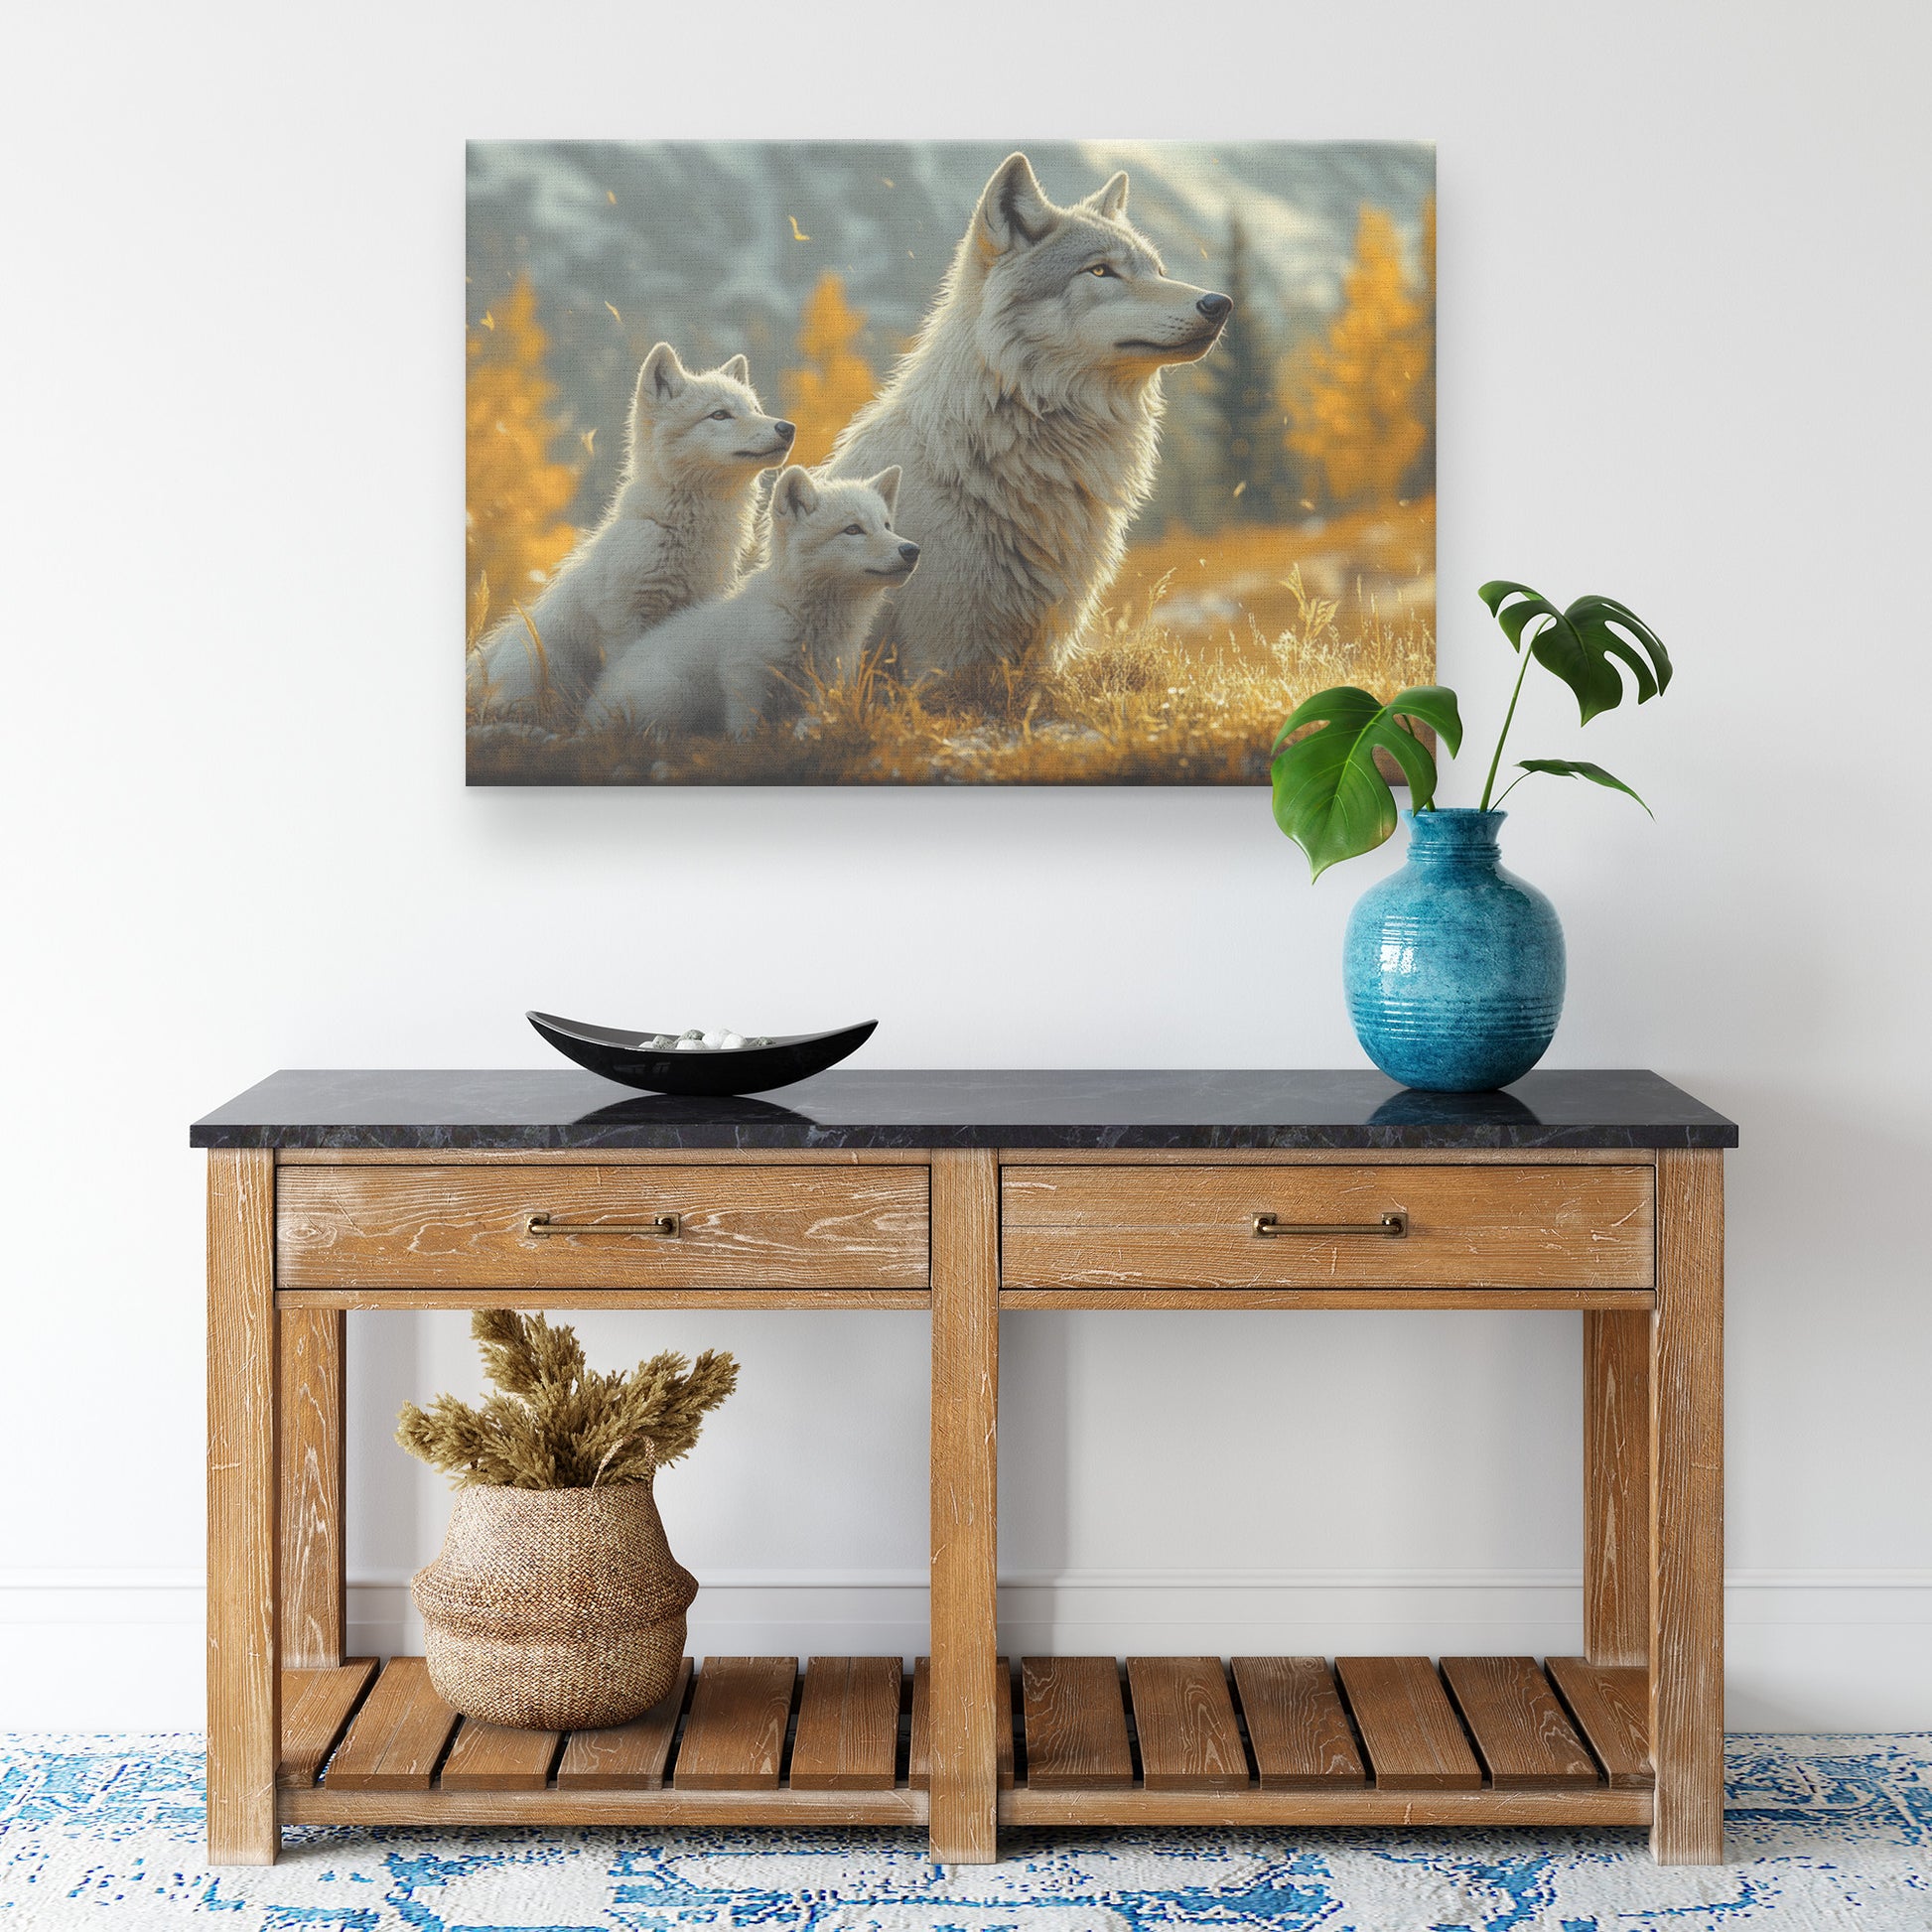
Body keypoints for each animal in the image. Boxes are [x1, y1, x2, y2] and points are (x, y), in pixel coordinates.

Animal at [588, 467, 918, 739]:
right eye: (853, 529)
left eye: (887, 525)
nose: (911, 550)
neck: (805, 619)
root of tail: (589, 709)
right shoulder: (744, 675)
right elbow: (744, 731)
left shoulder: (817, 685)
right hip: (673, 693)